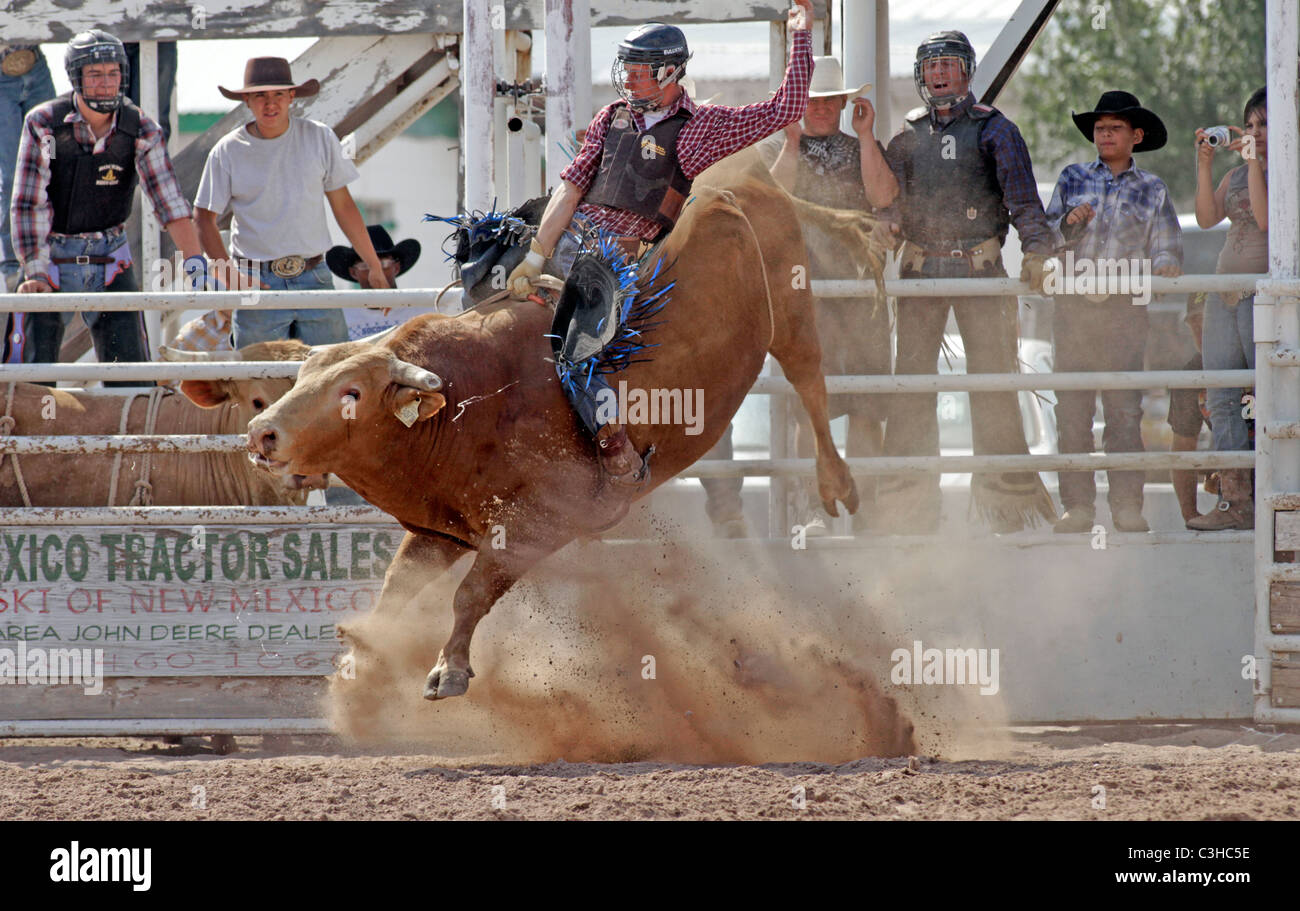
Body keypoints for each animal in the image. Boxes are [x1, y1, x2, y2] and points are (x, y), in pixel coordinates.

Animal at [247, 165, 867, 702]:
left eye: (351, 393)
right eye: (302, 376)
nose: (260, 433)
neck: (467, 401)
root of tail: (740, 174)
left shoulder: (538, 524)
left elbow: (471, 593)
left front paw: (449, 670)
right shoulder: (439, 531)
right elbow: (396, 593)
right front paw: (357, 664)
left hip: (792, 305)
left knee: (811, 381)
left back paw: (835, 483)